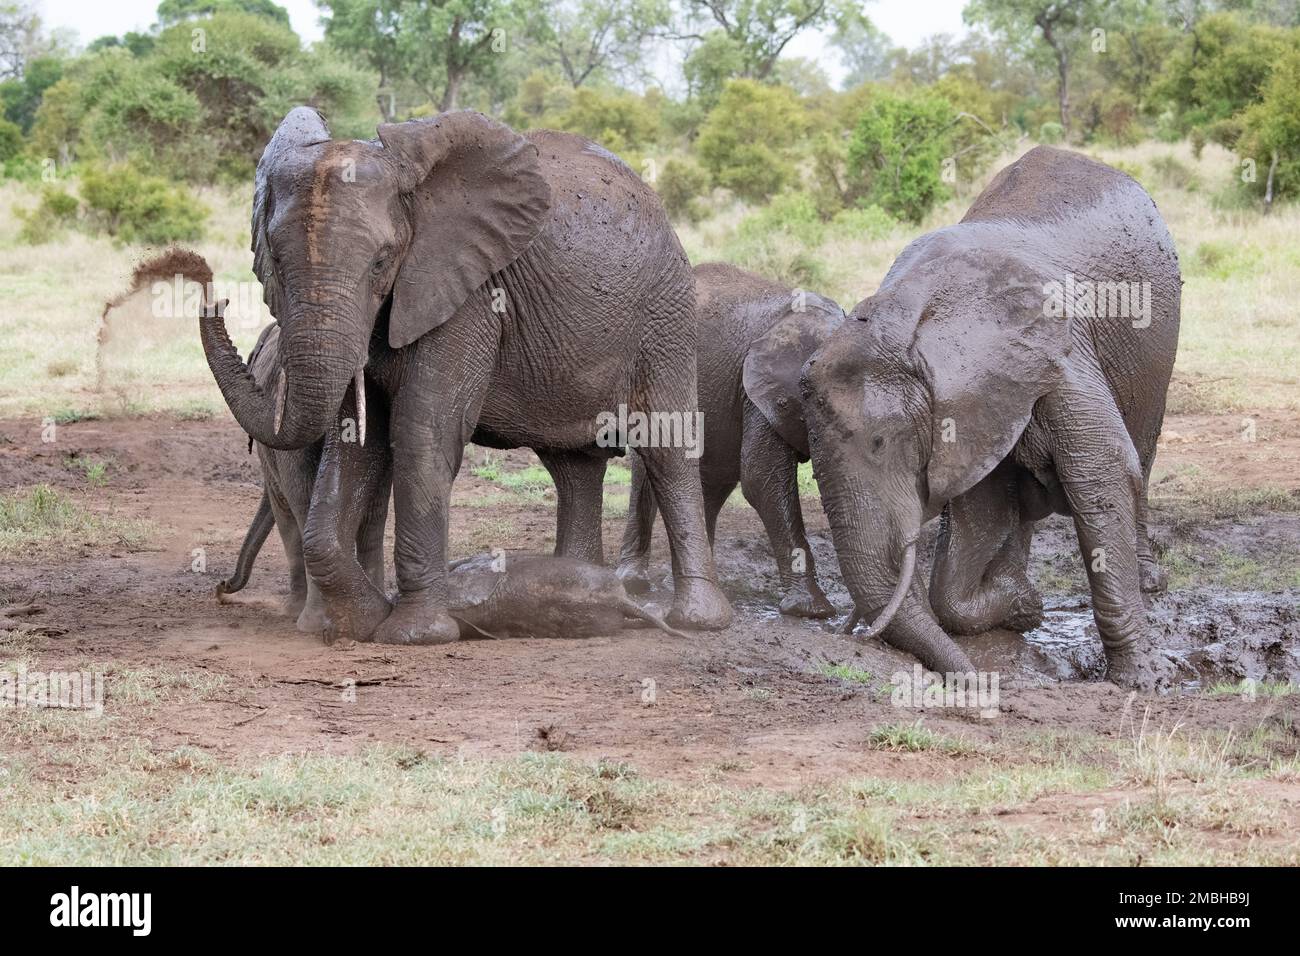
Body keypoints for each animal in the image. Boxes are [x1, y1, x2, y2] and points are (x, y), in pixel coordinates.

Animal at [200, 107, 732, 644]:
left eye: (381, 262)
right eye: (275, 261)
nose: (210, 293)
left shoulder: (469, 292)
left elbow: (422, 433)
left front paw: (413, 632)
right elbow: (355, 441)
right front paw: (360, 622)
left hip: (665, 314)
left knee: (667, 448)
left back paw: (699, 620)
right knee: (573, 466)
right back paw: (580, 590)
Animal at [617, 262, 842, 618]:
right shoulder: (758, 393)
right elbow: (761, 480)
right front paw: (813, 611)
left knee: (713, 480)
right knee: (650, 470)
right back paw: (635, 583)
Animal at [800, 146, 1180, 688]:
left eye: (881, 442)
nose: (857, 634)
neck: (908, 312)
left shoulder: (1064, 353)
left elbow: (1099, 472)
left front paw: (1143, 680)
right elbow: (984, 507)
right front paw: (1024, 606)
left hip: (1159, 343)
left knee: (1141, 451)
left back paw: (1149, 582)